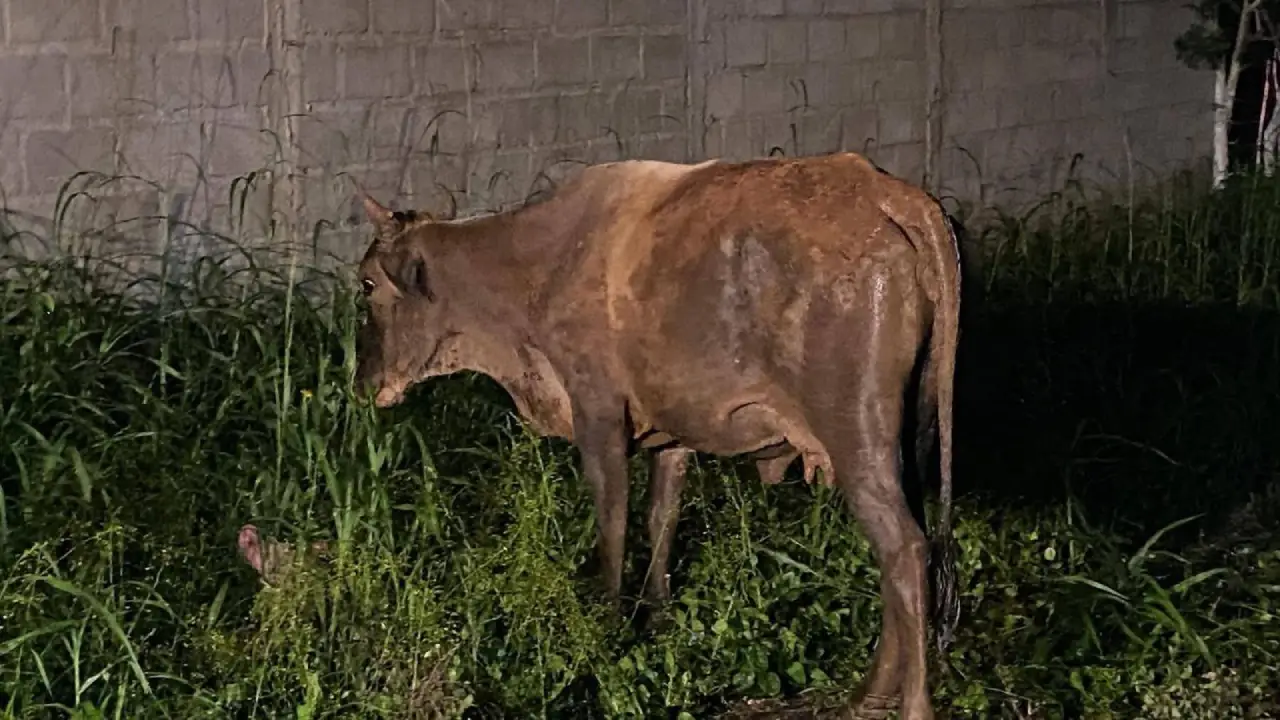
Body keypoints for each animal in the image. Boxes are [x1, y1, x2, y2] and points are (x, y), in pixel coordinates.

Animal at [352, 152, 961, 720]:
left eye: (367, 284)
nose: (361, 384)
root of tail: (885, 194)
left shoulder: (597, 413)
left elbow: (614, 525)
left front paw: (606, 632)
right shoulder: (673, 432)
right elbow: (660, 520)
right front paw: (660, 620)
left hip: (856, 432)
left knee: (905, 549)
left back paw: (907, 703)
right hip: (902, 435)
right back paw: (869, 693)